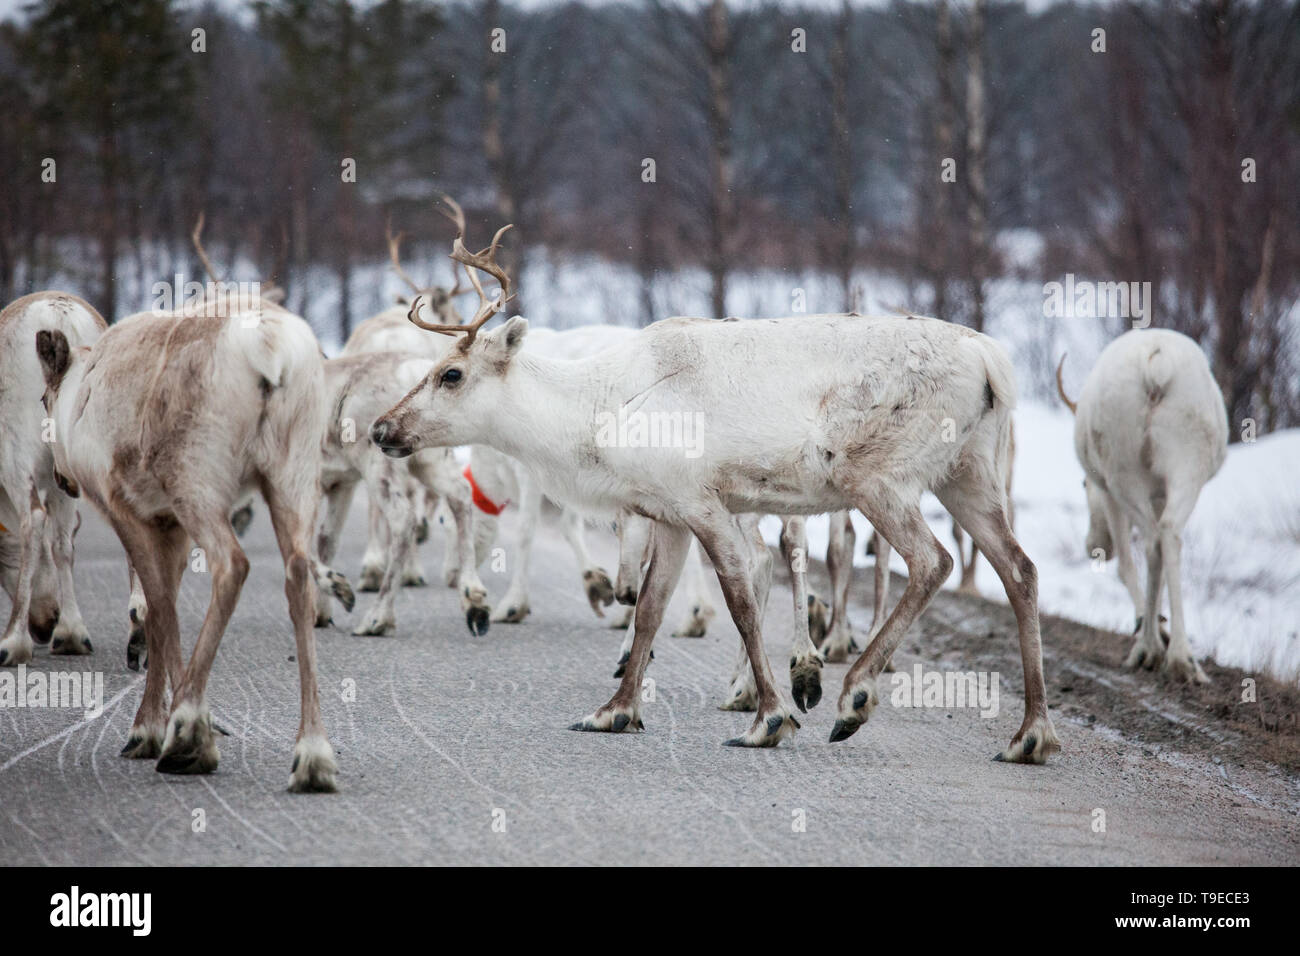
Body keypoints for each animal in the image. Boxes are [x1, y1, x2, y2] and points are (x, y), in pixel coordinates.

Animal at [0, 291, 106, 667]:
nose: (44, 626)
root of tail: (64, 319)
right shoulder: (61, 479)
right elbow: (62, 542)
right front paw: (71, 632)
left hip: (17, 451)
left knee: (33, 519)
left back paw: (13, 642)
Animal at [36, 292, 353, 791]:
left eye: (42, 398)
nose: (63, 479)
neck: (75, 402)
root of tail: (271, 346)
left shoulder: (127, 507)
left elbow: (158, 607)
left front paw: (152, 728)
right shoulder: (171, 523)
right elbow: (165, 605)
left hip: (195, 478)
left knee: (233, 565)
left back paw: (186, 734)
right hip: (295, 473)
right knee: (299, 575)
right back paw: (313, 756)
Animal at [371, 224, 1057, 762]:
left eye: (451, 374)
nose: (380, 428)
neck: (595, 418)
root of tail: (993, 360)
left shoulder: (700, 500)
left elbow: (740, 599)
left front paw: (769, 718)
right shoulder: (668, 513)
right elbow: (650, 609)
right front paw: (613, 710)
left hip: (878, 477)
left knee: (932, 560)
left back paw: (854, 698)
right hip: (970, 473)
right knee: (1020, 568)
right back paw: (1030, 735)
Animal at [1056, 329, 1226, 684]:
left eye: (1083, 483)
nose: (1094, 546)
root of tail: (1156, 363)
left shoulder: (1107, 490)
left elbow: (1126, 566)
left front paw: (1149, 628)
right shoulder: (1159, 493)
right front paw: (1160, 628)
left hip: (1123, 473)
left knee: (1150, 542)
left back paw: (1149, 649)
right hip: (1187, 461)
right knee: (1168, 535)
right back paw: (1181, 657)